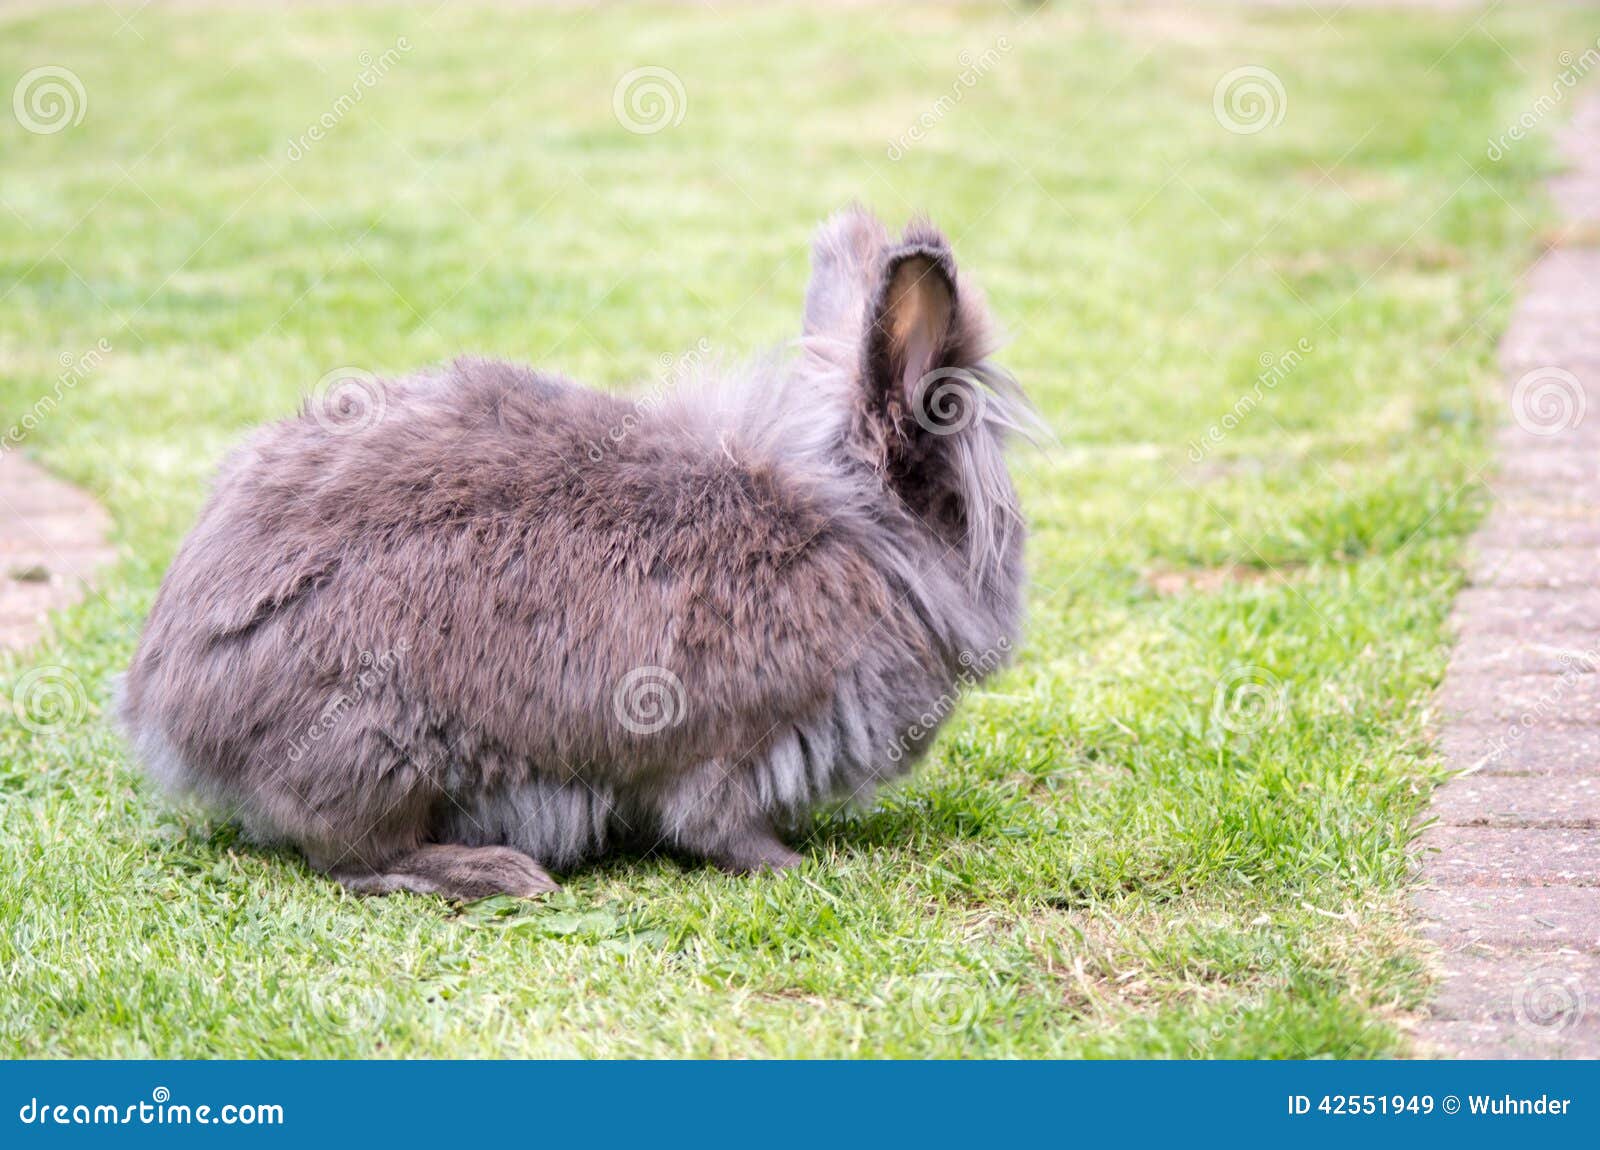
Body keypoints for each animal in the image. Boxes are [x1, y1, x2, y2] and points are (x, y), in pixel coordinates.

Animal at [118, 207, 1034, 899]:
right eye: (960, 508)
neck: (860, 537)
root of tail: (163, 704)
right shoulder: (731, 753)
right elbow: (719, 828)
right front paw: (789, 863)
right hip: (376, 748)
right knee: (353, 858)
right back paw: (501, 873)